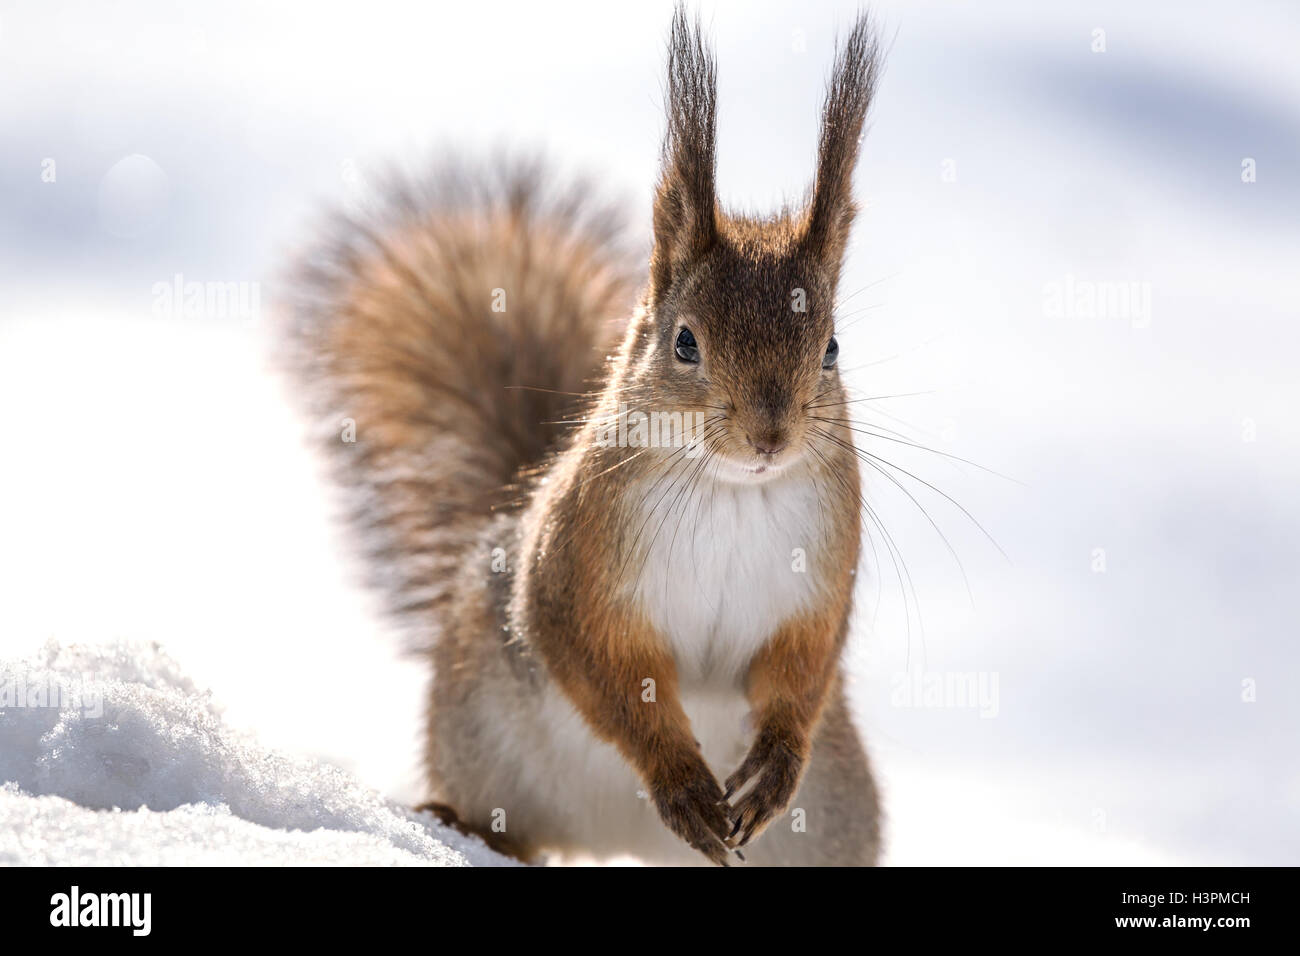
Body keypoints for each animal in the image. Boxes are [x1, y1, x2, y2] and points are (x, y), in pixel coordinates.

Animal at [283, 7, 883, 866]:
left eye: (830, 348)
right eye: (685, 342)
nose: (769, 436)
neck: (731, 492)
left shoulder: (819, 593)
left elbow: (802, 674)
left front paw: (773, 770)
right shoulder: (575, 579)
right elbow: (605, 672)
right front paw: (680, 783)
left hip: (834, 815)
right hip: (481, 734)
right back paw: (462, 823)